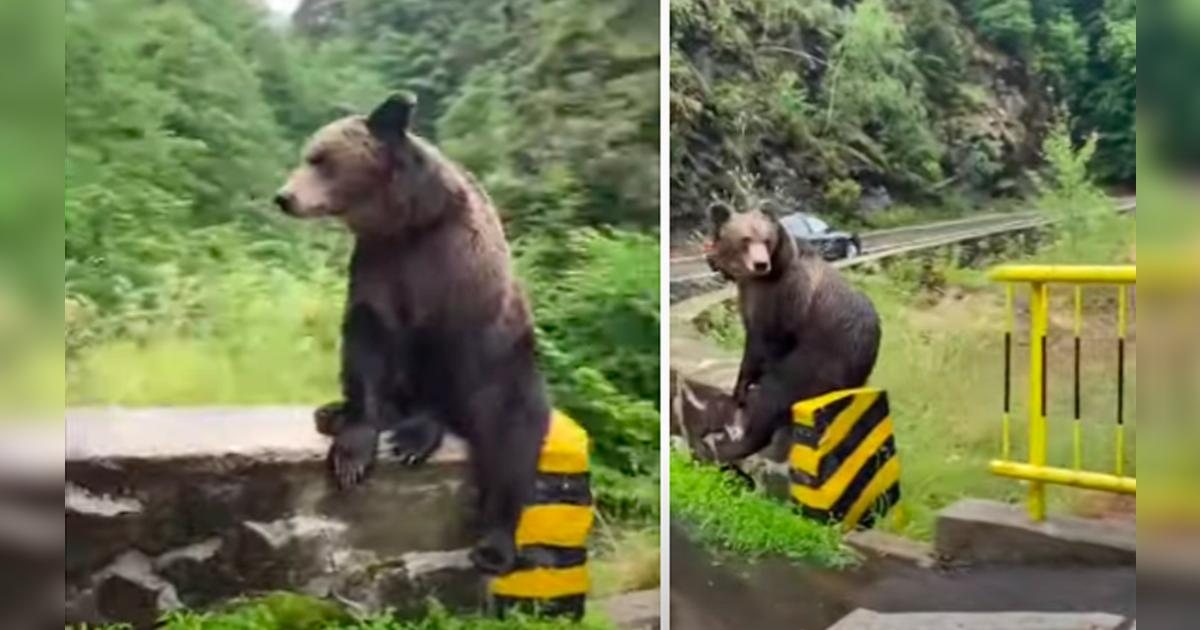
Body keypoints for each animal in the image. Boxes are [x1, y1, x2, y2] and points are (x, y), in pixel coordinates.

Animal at [273, 93, 550, 576]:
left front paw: (413, 439)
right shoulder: (379, 264)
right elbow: (367, 337)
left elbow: (443, 354)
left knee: (512, 435)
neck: (409, 222)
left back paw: (494, 545)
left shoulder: (453, 271)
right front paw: (353, 449)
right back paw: (332, 412)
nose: (285, 197)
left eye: (320, 159)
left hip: (509, 368)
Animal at [702, 202, 882, 462]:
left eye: (766, 239)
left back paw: (725, 446)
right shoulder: (751, 295)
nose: (760, 264)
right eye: (745, 239)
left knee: (774, 398)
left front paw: (742, 388)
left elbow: (764, 344)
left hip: (818, 362)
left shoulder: (784, 298)